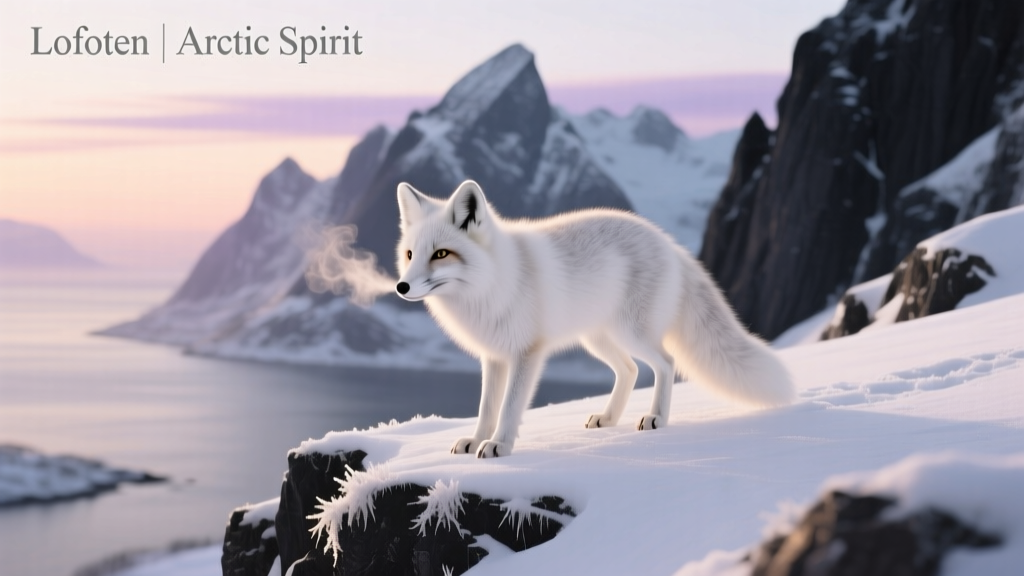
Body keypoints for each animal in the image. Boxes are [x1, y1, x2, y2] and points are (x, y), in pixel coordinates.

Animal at [394, 180, 794, 458]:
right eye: (411, 254)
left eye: (441, 254)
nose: (401, 286)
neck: (491, 284)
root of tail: (671, 244)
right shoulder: (493, 357)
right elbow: (486, 408)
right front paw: (477, 440)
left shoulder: (527, 353)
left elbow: (509, 408)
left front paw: (499, 446)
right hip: (598, 339)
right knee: (630, 370)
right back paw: (609, 418)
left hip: (632, 333)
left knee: (665, 363)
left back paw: (657, 419)